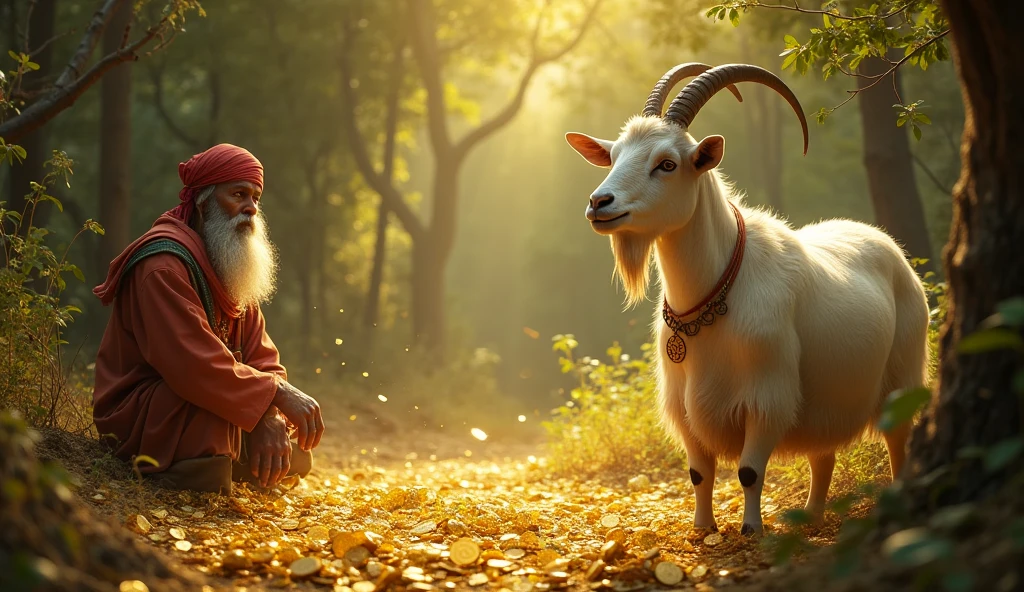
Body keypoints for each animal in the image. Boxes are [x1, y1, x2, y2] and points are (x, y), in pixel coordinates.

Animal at [565, 63, 929, 535]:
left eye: (667, 164)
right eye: (614, 156)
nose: (599, 203)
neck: (716, 292)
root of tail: (892, 249)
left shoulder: (767, 398)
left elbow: (750, 471)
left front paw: (751, 529)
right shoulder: (684, 406)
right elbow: (699, 473)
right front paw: (703, 528)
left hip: (902, 377)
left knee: (898, 444)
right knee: (823, 455)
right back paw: (812, 516)